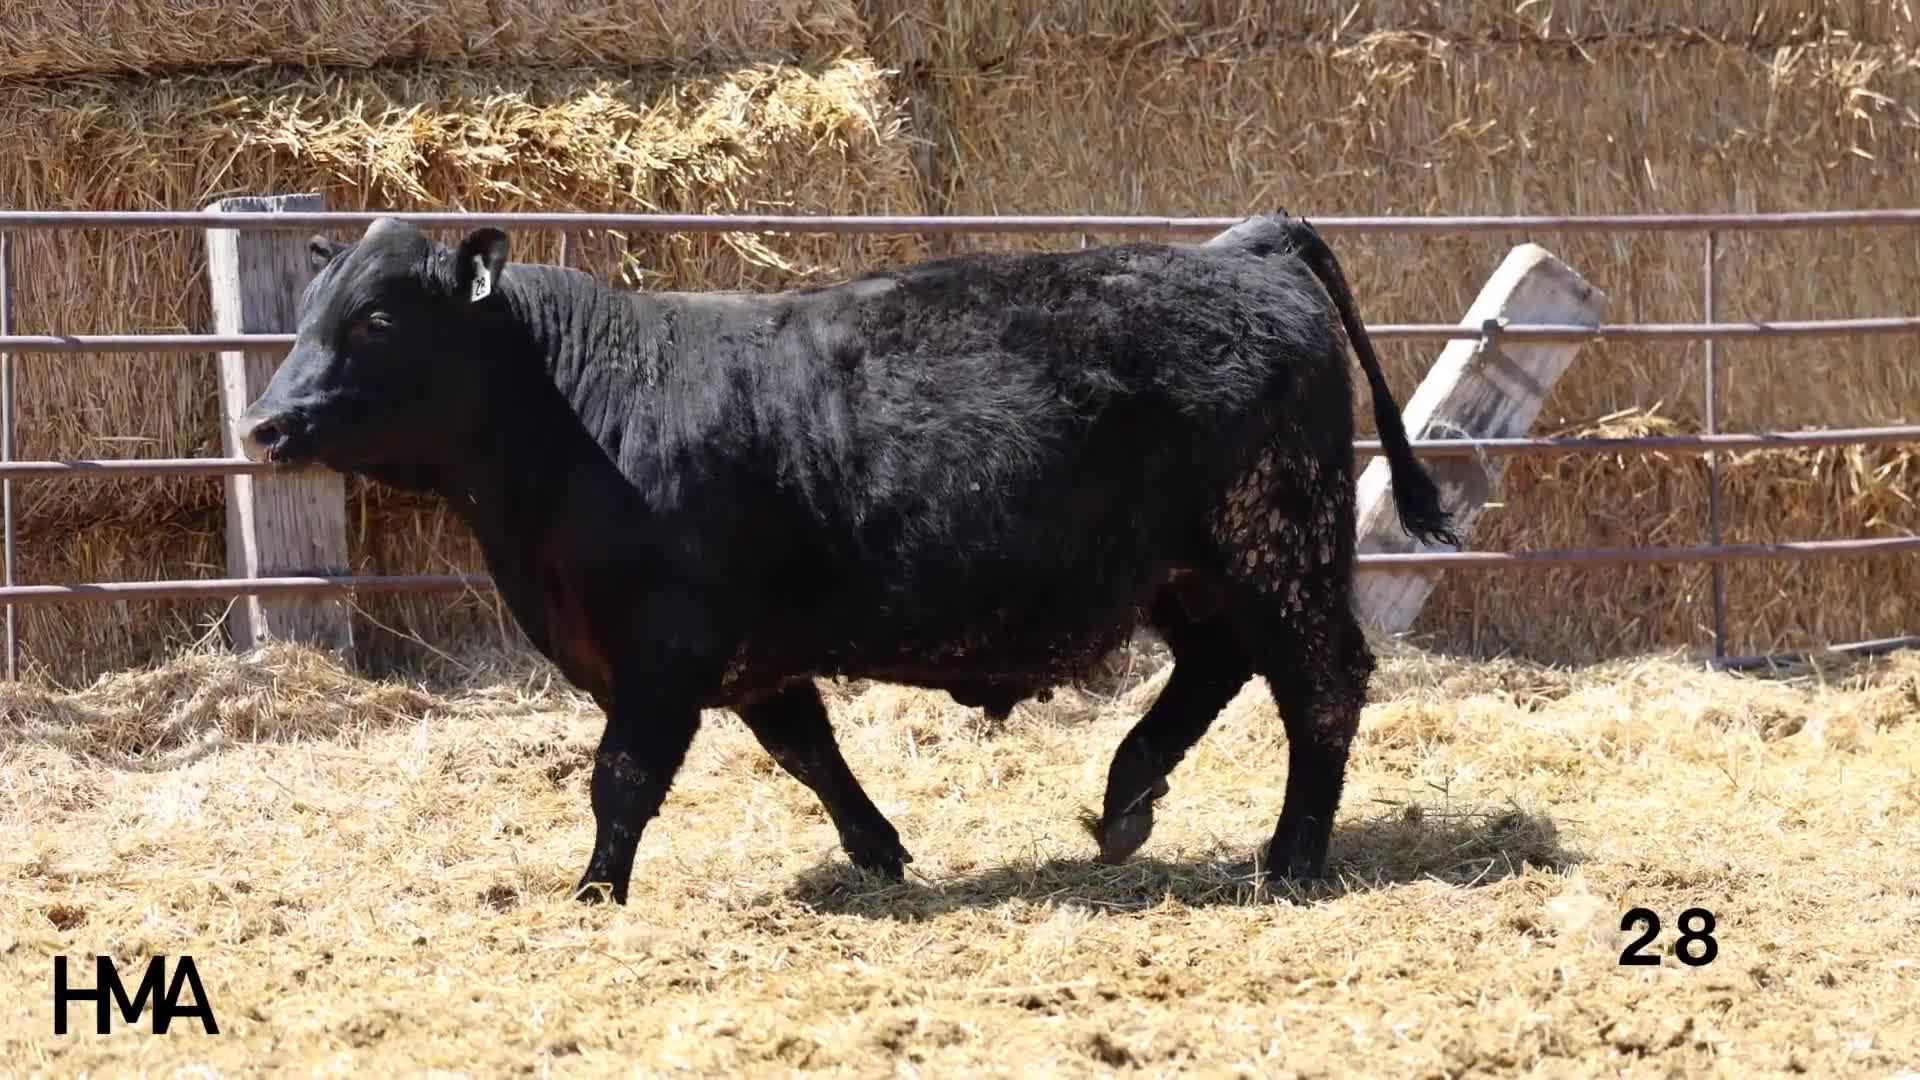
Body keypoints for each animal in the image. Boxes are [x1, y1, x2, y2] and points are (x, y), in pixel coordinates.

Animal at [236, 212, 1457, 904]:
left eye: (378, 319)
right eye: (306, 315)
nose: (263, 424)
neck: (581, 409)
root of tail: (1242, 251)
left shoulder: (665, 654)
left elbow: (621, 778)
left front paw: (592, 891)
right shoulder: (755, 658)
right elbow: (809, 753)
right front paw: (881, 851)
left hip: (1278, 548)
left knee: (1322, 689)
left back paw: (1291, 857)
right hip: (1197, 572)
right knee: (1215, 668)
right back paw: (1127, 796)